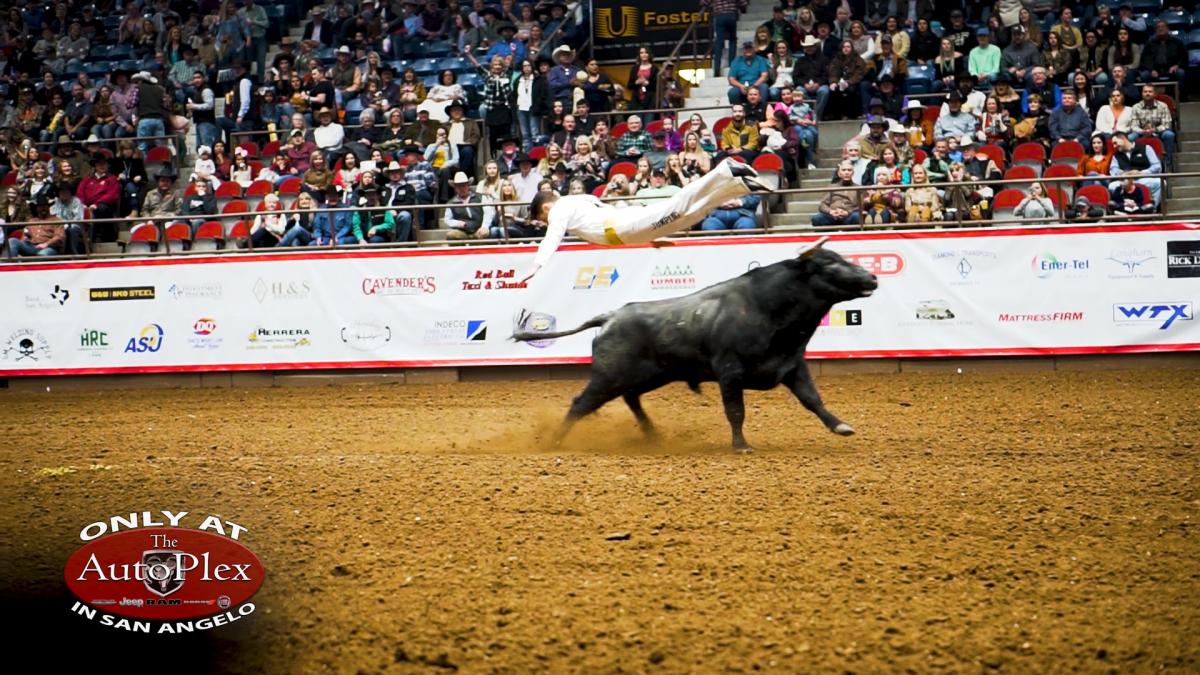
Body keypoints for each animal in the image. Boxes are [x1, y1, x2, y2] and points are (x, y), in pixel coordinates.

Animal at [511, 238, 879, 452]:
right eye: (829, 263)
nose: (872, 277)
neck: (765, 306)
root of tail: (610, 316)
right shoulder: (730, 371)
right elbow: (735, 410)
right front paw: (741, 445)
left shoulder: (792, 365)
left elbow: (812, 400)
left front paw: (840, 426)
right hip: (608, 377)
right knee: (581, 404)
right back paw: (555, 441)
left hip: (649, 375)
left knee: (631, 398)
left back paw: (652, 435)